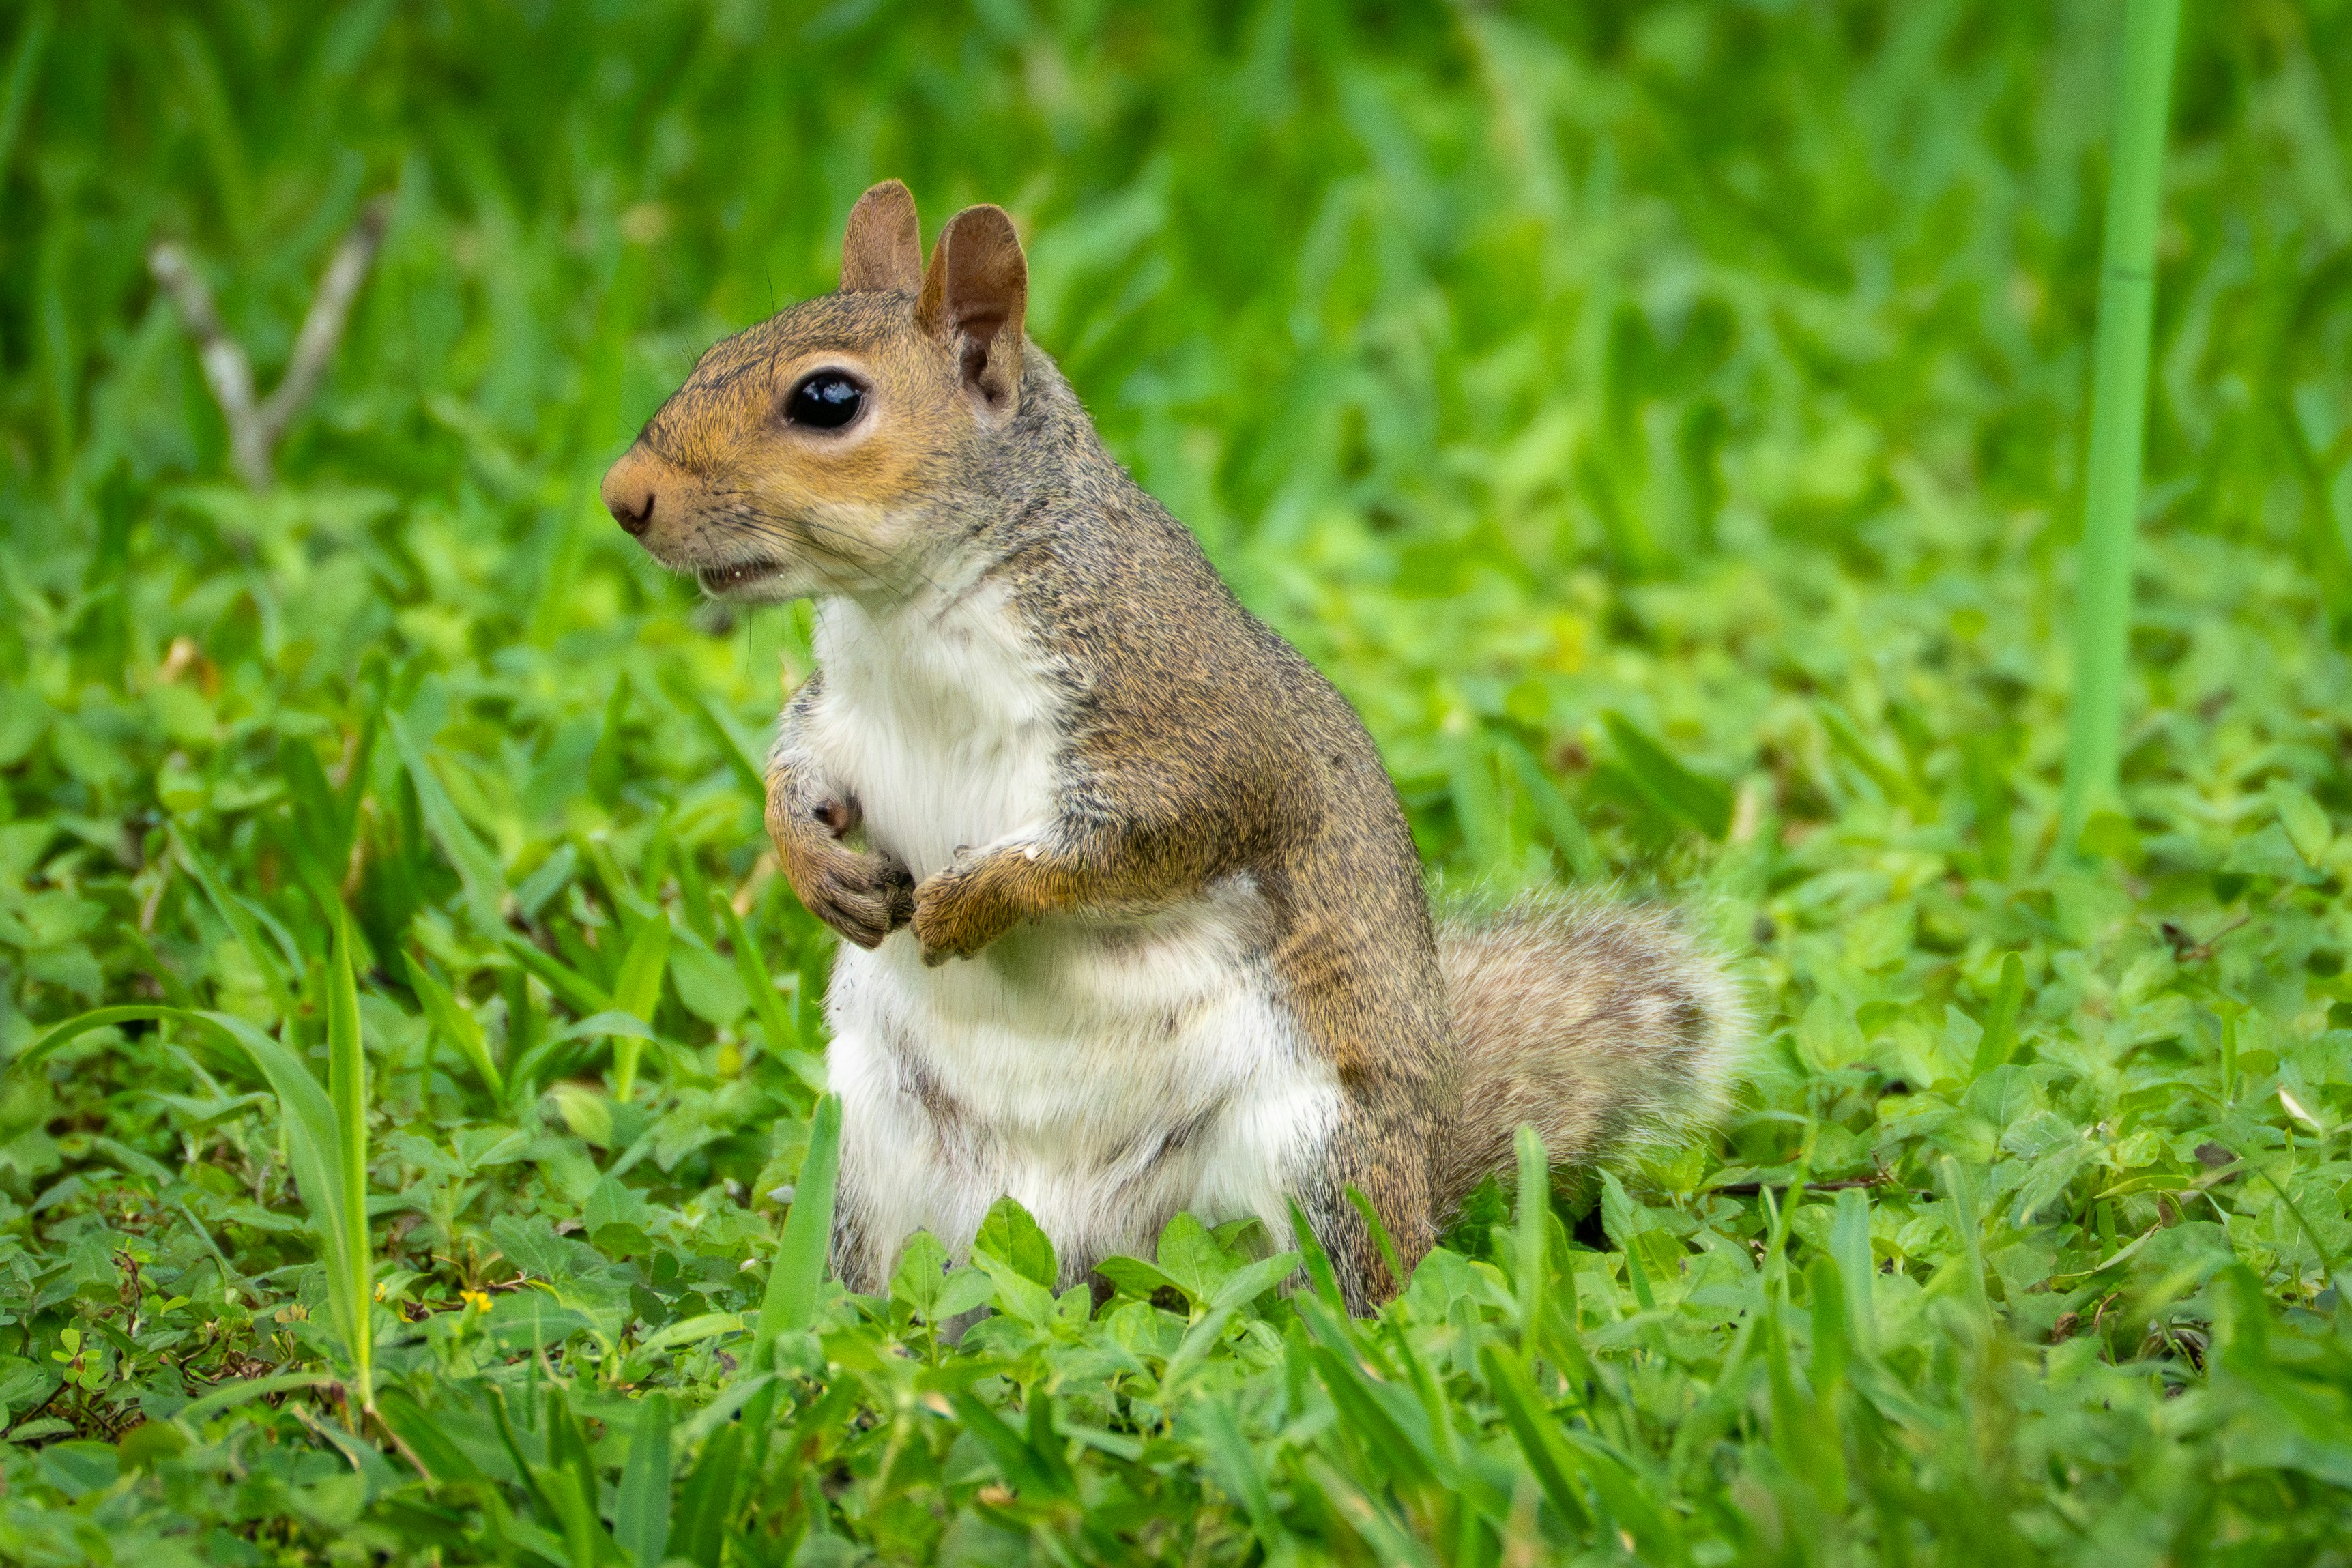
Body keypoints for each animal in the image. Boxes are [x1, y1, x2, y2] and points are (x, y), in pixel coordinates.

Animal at [601, 181, 1746, 1312]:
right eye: (713, 351)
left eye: (828, 401)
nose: (621, 496)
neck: (908, 615)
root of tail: (1083, 1247)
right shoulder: (839, 714)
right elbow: (795, 769)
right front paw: (811, 863)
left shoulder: (1187, 733)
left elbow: (1132, 846)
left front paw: (971, 899)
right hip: (873, 1156)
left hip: (1312, 1160)